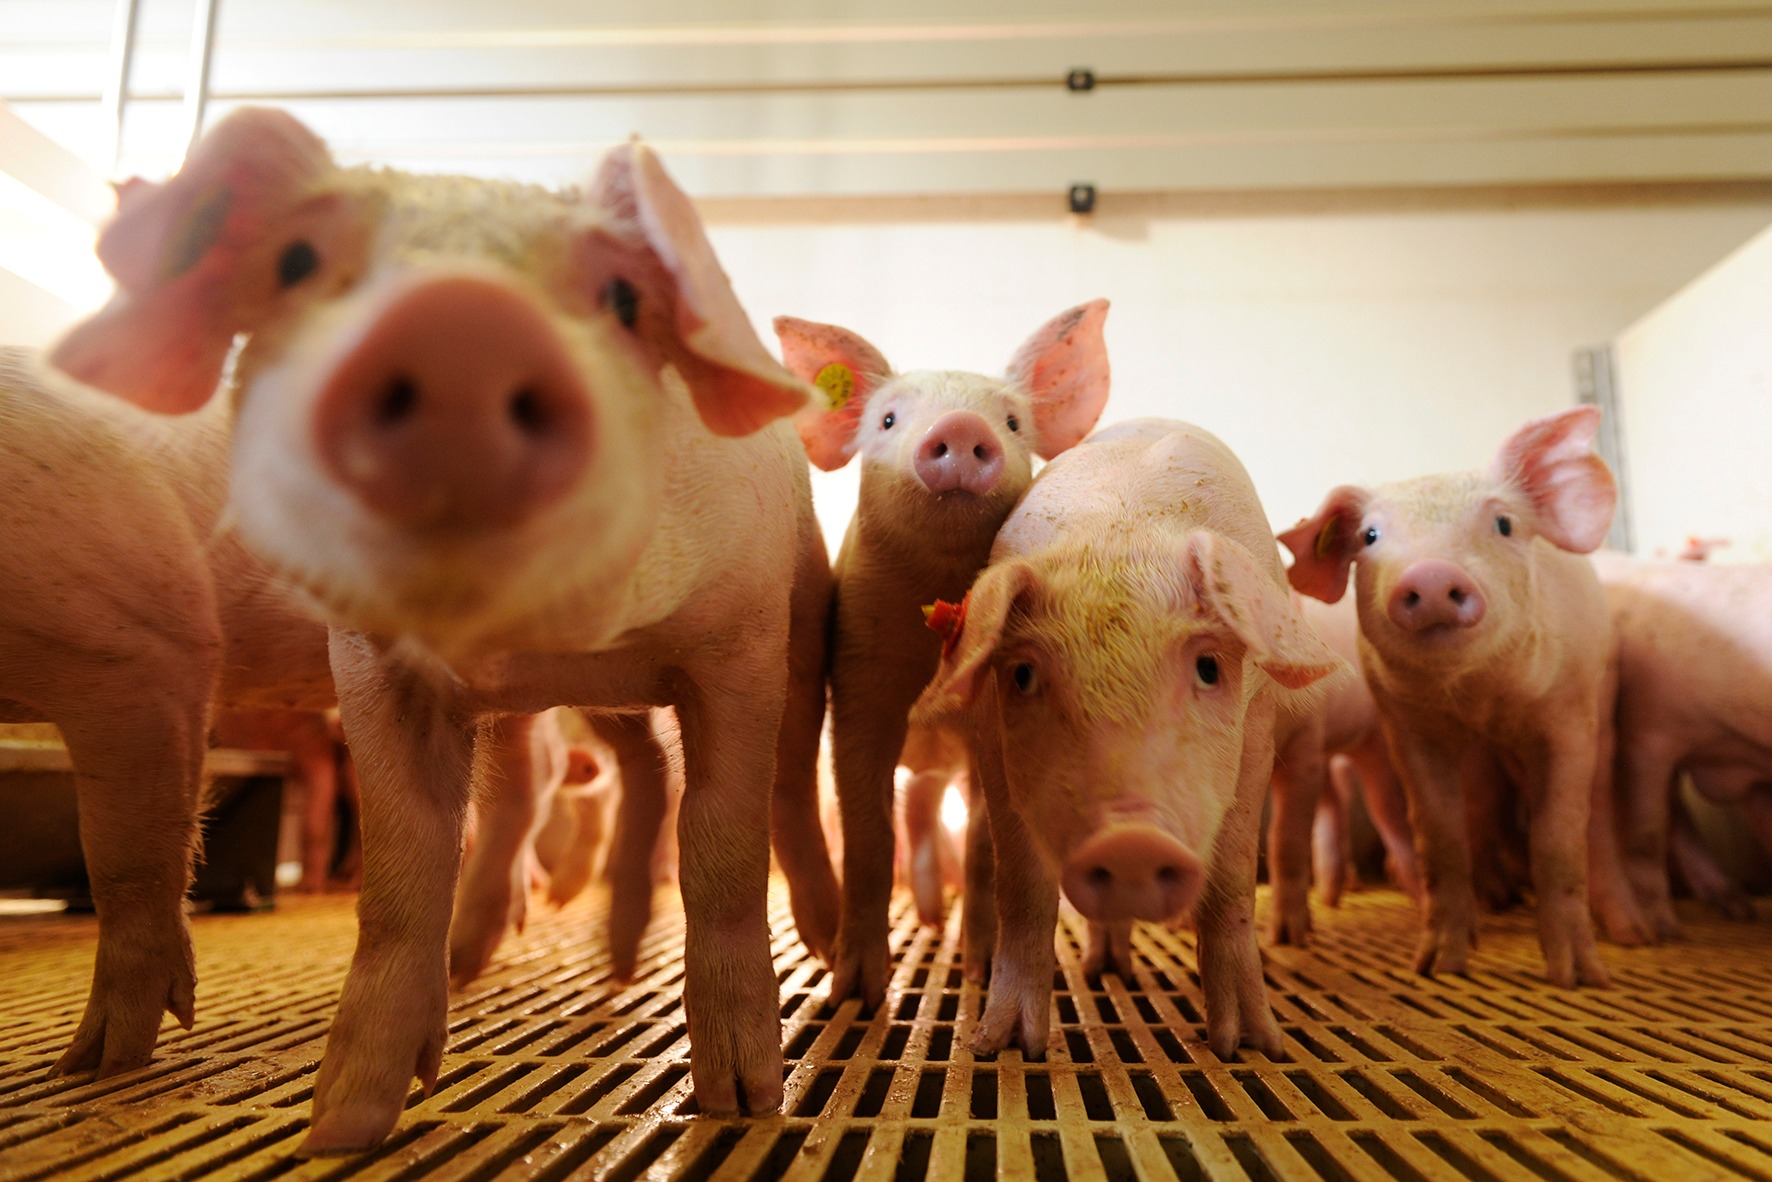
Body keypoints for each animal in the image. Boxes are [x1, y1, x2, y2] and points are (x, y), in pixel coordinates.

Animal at [52, 107, 836, 1149]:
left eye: (624, 296)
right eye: (295, 262)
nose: (462, 323)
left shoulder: (738, 638)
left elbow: (723, 843)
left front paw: (742, 1104)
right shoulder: (370, 667)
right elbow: (401, 864)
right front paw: (341, 1125)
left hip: (803, 607)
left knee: (777, 782)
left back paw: (810, 953)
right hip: (599, 710)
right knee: (631, 775)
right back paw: (588, 958)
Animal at [774, 304, 1111, 1006]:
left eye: (1012, 422)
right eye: (887, 419)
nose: (960, 426)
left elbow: (984, 848)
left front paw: (976, 973)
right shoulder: (857, 693)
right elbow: (869, 838)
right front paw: (855, 993)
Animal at [913, 418, 1342, 1060]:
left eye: (1209, 667)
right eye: (1023, 675)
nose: (1130, 842)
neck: (1119, 538)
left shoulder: (1258, 725)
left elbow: (1233, 880)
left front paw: (1248, 1049)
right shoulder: (992, 732)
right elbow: (1023, 888)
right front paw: (1006, 1048)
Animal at [1279, 407, 1618, 988]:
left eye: (1504, 524)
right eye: (1370, 536)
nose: (1433, 573)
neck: (1477, 700)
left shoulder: (1569, 714)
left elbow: (1557, 836)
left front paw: (1576, 977)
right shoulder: (1406, 728)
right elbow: (1438, 835)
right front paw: (1437, 967)